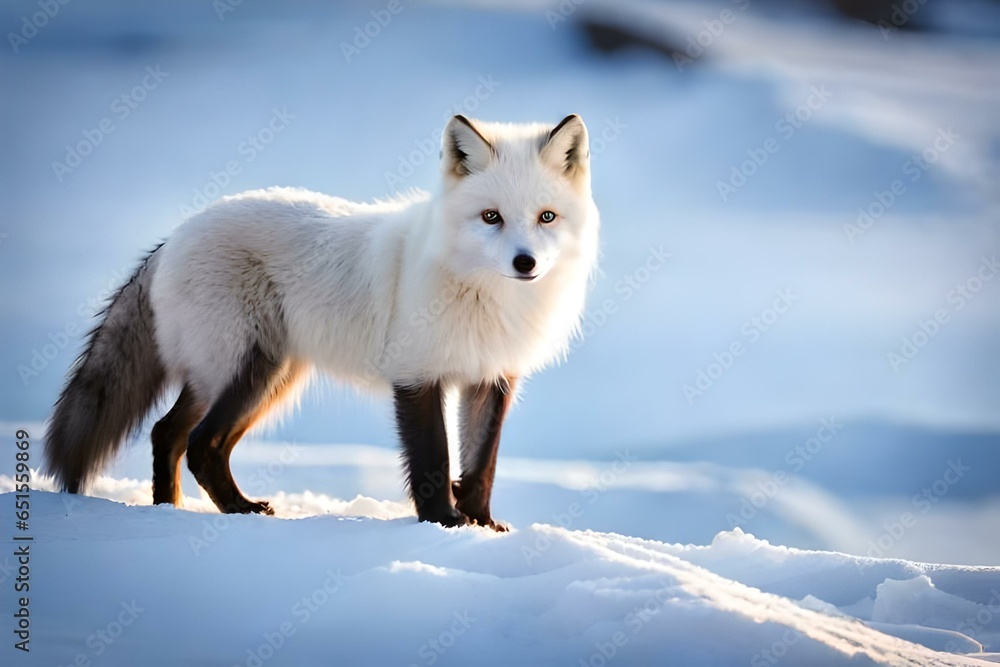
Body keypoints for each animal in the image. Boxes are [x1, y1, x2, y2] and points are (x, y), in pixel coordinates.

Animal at [43, 114, 599, 530]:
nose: (525, 263)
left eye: (546, 217)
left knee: (170, 434)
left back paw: (171, 513)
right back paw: (237, 511)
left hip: (257, 378)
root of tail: (176, 234)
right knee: (199, 444)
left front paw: (481, 525)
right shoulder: (416, 373)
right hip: (250, 369)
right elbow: (433, 461)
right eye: (491, 217)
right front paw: (443, 522)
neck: (488, 297)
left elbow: (481, 465)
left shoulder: (492, 377)